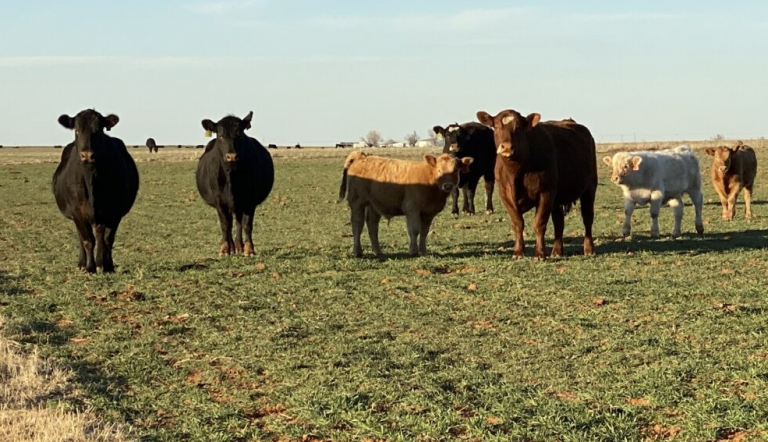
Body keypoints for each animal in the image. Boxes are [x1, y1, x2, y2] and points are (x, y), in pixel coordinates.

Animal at [52, 109, 139, 273]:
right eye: (77, 130)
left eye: (98, 130)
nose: (87, 155)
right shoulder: (77, 212)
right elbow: (87, 240)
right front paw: (90, 267)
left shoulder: (113, 211)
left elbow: (106, 239)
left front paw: (105, 265)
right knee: (82, 237)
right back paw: (82, 264)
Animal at [196, 111, 274, 257]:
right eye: (220, 135)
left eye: (240, 134)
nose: (231, 156)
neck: (231, 177)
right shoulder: (219, 200)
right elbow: (225, 224)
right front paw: (225, 249)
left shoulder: (250, 199)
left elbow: (247, 224)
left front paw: (249, 249)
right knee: (230, 223)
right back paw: (231, 247)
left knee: (238, 223)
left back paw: (238, 246)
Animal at [339, 151, 473, 257]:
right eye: (439, 170)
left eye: (455, 170)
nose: (448, 186)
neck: (430, 180)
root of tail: (360, 157)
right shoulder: (412, 209)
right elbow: (414, 230)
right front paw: (413, 251)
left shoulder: (428, 213)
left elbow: (424, 232)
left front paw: (423, 251)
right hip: (357, 203)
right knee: (357, 225)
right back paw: (357, 252)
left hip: (373, 205)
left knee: (372, 226)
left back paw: (378, 251)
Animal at [476, 110, 597, 259]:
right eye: (497, 126)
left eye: (518, 128)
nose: (506, 146)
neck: (516, 172)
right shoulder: (505, 195)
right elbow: (518, 223)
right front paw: (518, 252)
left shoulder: (546, 193)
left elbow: (539, 223)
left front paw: (539, 253)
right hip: (557, 199)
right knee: (559, 223)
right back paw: (556, 251)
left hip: (590, 189)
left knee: (587, 218)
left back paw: (588, 249)